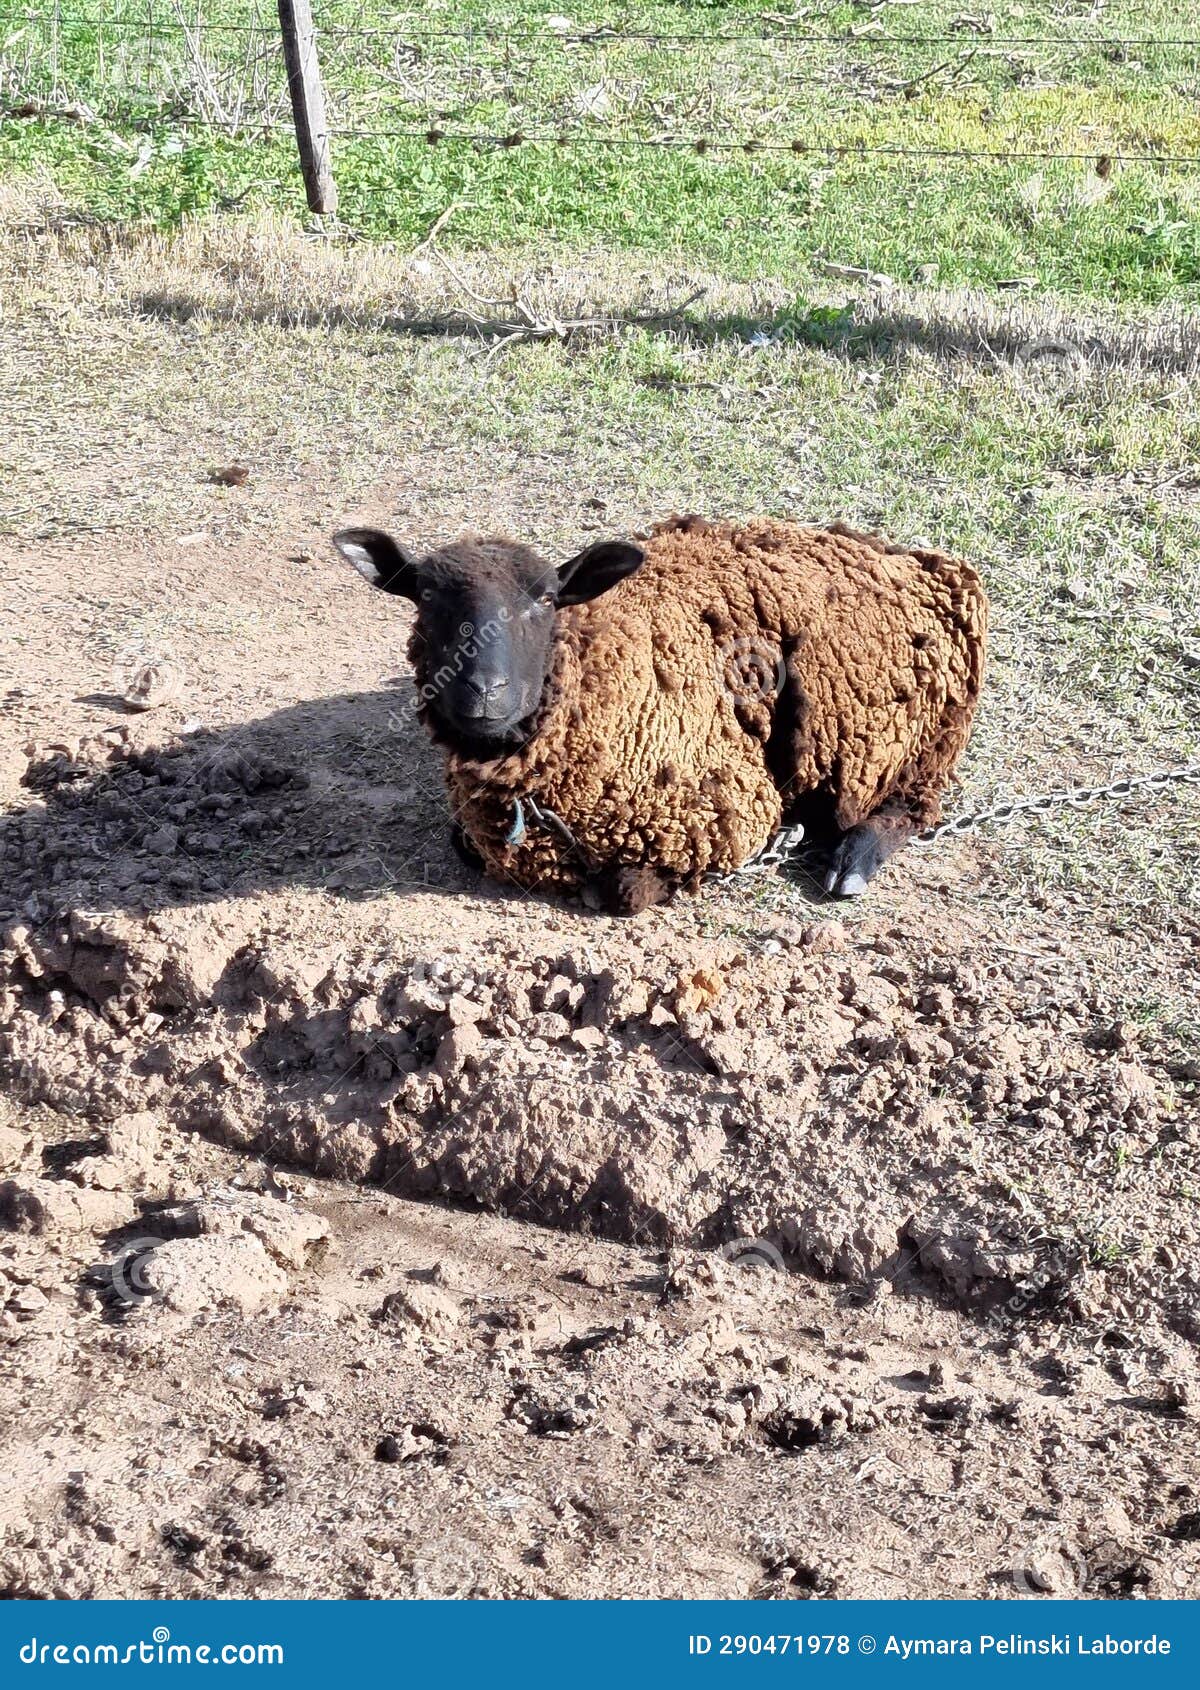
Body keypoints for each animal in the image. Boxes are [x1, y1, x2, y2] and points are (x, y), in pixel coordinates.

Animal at [332, 515, 986, 914]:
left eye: (546, 600)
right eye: (425, 596)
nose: (484, 692)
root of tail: (916, 558)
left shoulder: (727, 802)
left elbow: (624, 891)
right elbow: (462, 841)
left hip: (884, 731)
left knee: (911, 804)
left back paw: (851, 862)